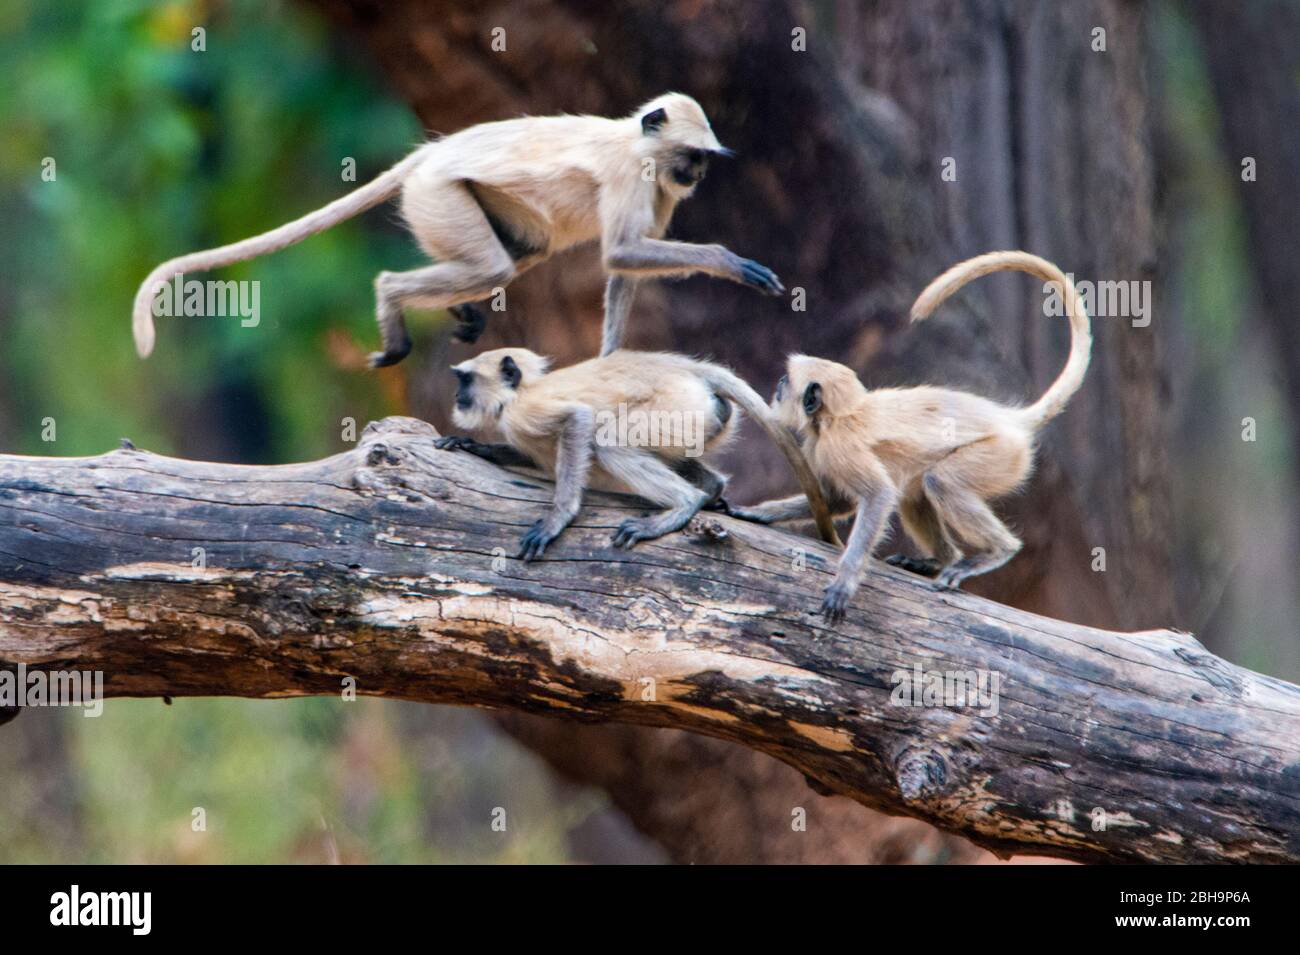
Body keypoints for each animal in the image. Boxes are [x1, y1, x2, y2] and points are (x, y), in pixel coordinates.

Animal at [131, 93, 784, 364]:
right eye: (694, 156)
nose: (698, 173)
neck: (633, 140)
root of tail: (431, 153)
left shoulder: (659, 187)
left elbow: (624, 268)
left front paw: (607, 362)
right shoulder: (634, 170)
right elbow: (621, 252)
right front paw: (730, 262)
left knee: (521, 252)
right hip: (438, 196)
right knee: (492, 265)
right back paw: (393, 299)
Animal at [433, 348, 839, 560]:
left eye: (465, 380)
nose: (456, 396)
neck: (522, 391)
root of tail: (689, 369)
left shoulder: (526, 413)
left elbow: (579, 420)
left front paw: (557, 520)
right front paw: (469, 445)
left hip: (675, 407)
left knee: (609, 440)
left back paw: (684, 505)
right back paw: (711, 491)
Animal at [728, 251, 1092, 621]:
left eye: (786, 382)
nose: (776, 387)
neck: (842, 414)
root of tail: (1005, 418)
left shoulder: (836, 446)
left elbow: (877, 497)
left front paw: (845, 582)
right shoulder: (820, 446)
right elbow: (840, 501)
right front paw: (759, 513)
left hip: (1001, 454)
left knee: (939, 482)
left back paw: (997, 551)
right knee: (915, 494)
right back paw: (940, 561)